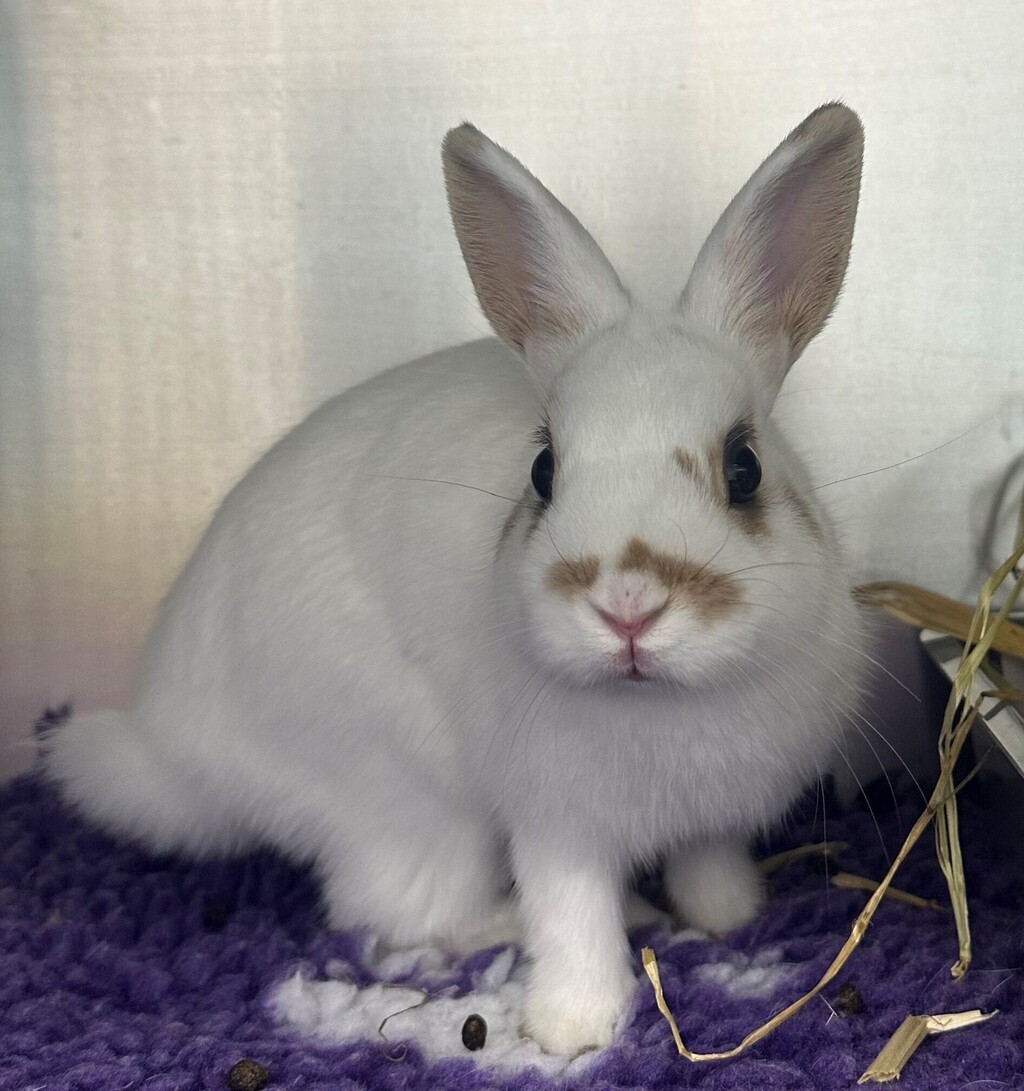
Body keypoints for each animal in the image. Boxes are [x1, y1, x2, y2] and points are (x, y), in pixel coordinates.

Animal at [45, 103, 867, 1056]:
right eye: (543, 470)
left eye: (744, 469)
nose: (626, 606)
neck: (664, 706)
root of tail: (169, 746)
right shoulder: (555, 824)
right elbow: (571, 920)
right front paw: (571, 1029)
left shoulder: (719, 816)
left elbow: (712, 866)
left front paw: (730, 921)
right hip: (408, 800)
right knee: (399, 912)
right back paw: (568, 922)